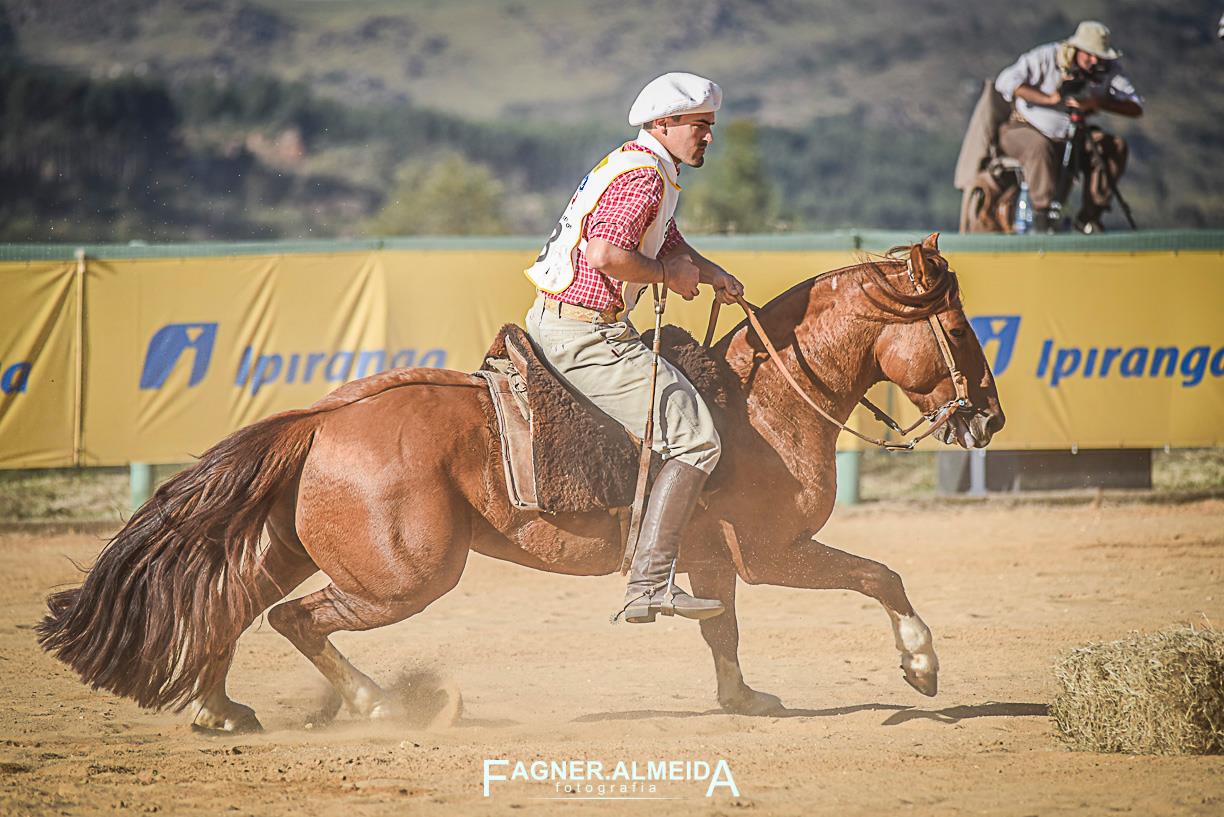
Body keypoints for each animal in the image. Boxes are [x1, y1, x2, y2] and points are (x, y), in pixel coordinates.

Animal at [38, 233, 1004, 732]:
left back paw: (218, 706)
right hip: (407, 575)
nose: (989, 419)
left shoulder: (711, 558)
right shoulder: (773, 551)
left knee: (234, 603)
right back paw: (377, 703)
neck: (761, 403)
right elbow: (879, 574)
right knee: (293, 618)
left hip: (298, 548)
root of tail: (324, 416)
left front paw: (743, 699)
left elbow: (720, 628)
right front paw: (921, 663)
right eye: (961, 328)